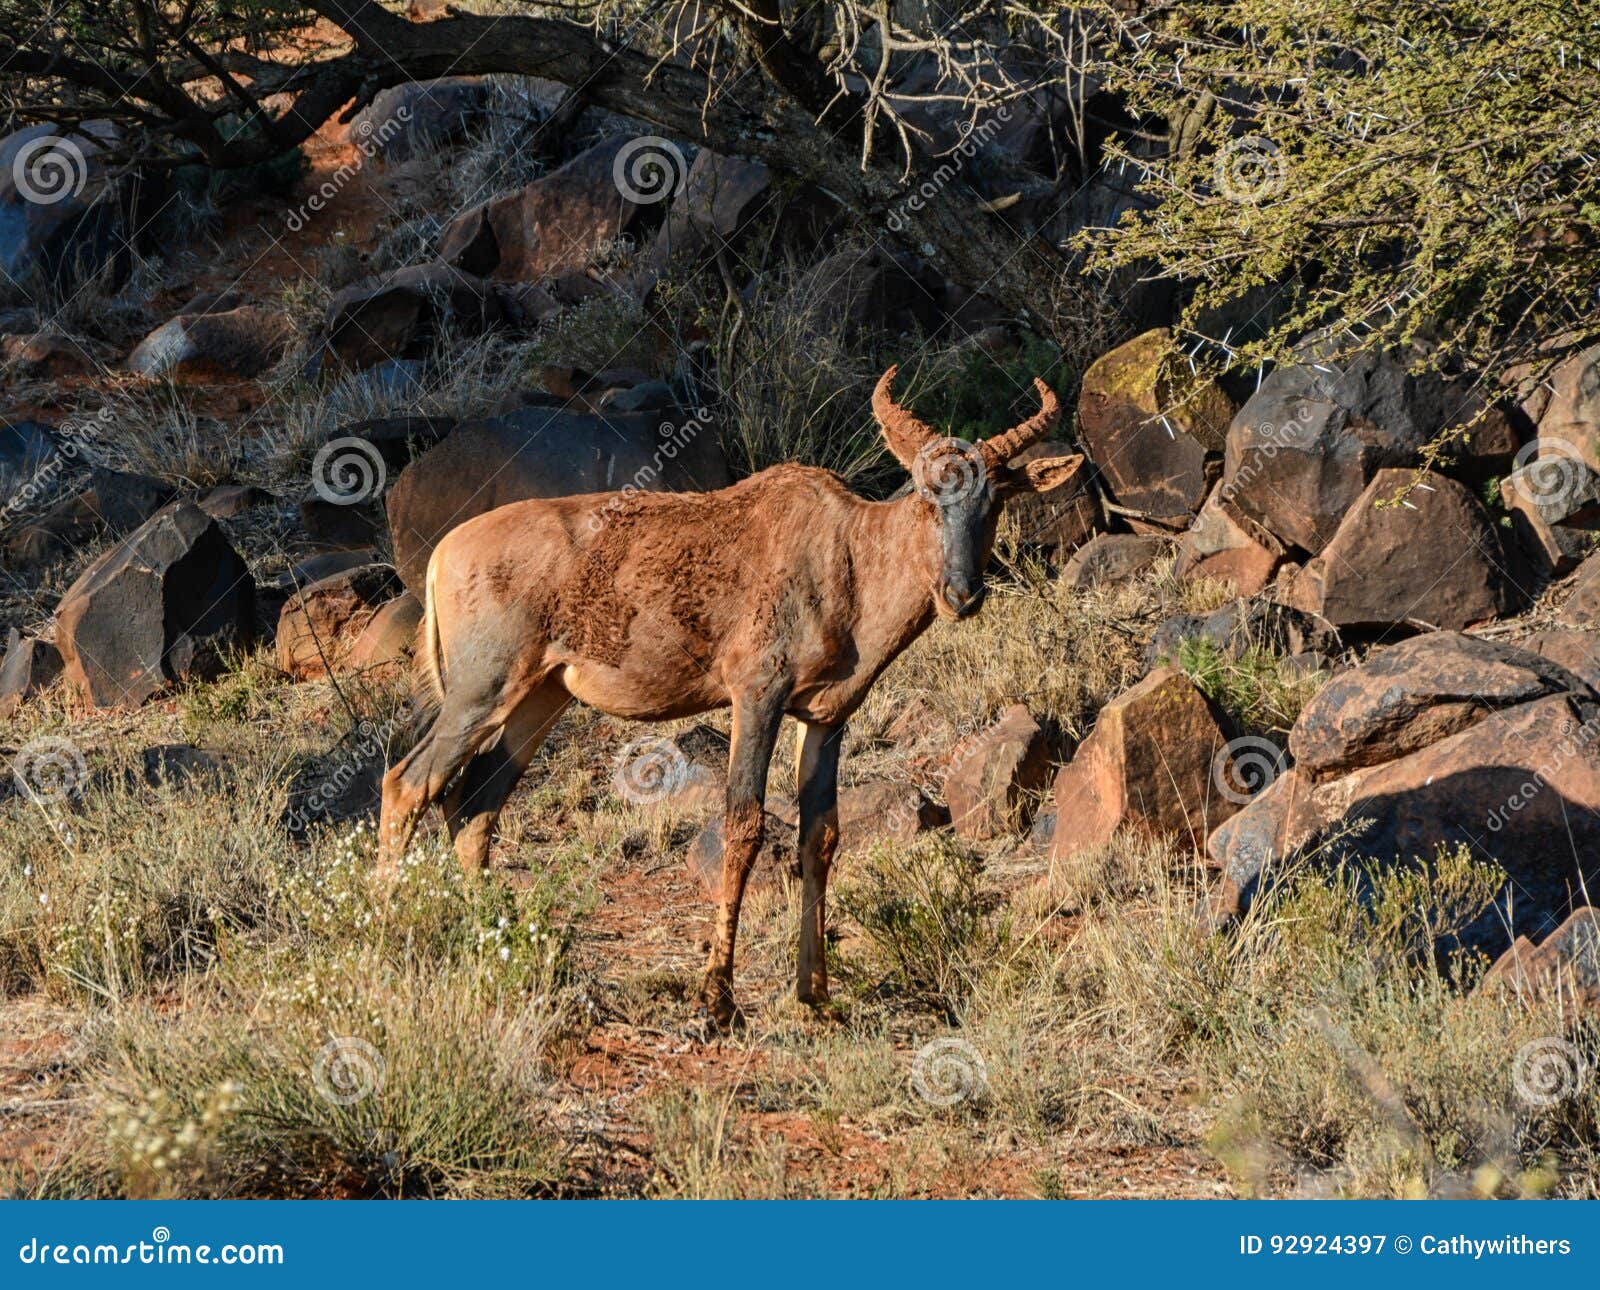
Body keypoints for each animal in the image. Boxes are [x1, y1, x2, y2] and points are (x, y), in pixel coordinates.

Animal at [378, 367, 1083, 1026]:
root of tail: (445, 553)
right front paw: (718, 1000)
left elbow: (821, 835)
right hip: (481, 690)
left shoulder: (826, 718)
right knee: (408, 782)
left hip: (539, 700)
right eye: (926, 493)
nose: (962, 595)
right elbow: (745, 824)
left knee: (474, 804)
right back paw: (385, 935)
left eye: (996, 497)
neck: (842, 548)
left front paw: (815, 995)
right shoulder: (756, 695)